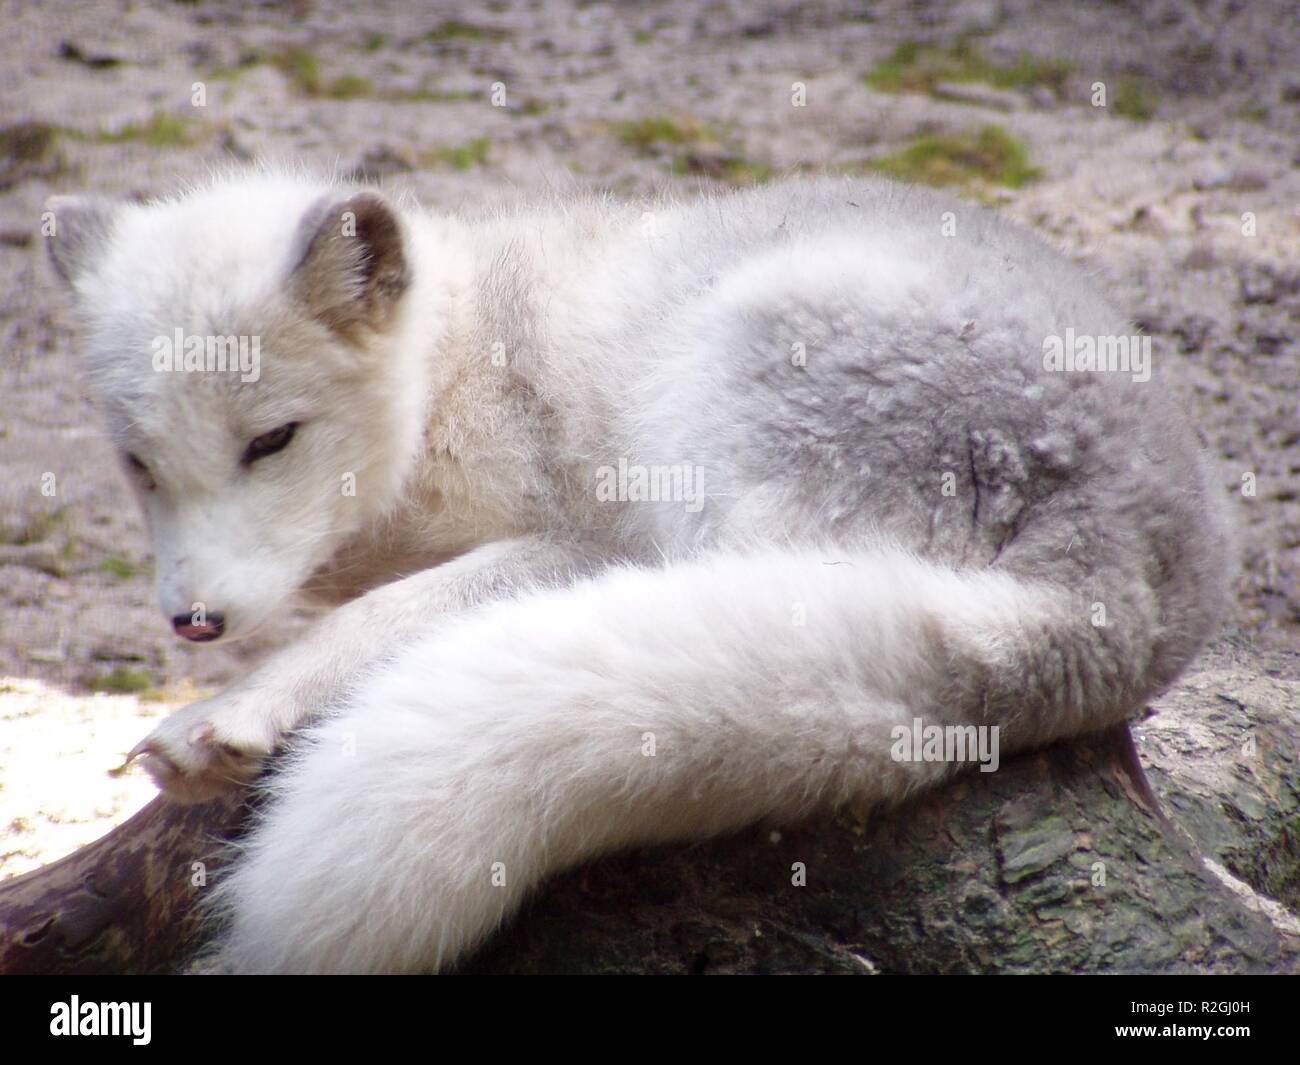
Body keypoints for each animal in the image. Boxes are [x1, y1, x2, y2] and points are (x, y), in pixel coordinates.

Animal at [44, 171, 1231, 974]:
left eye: (273, 441)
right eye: (138, 463)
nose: (195, 621)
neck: (456, 372)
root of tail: (1129, 598)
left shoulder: (585, 539)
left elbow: (386, 613)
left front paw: (235, 715)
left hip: (725, 398)